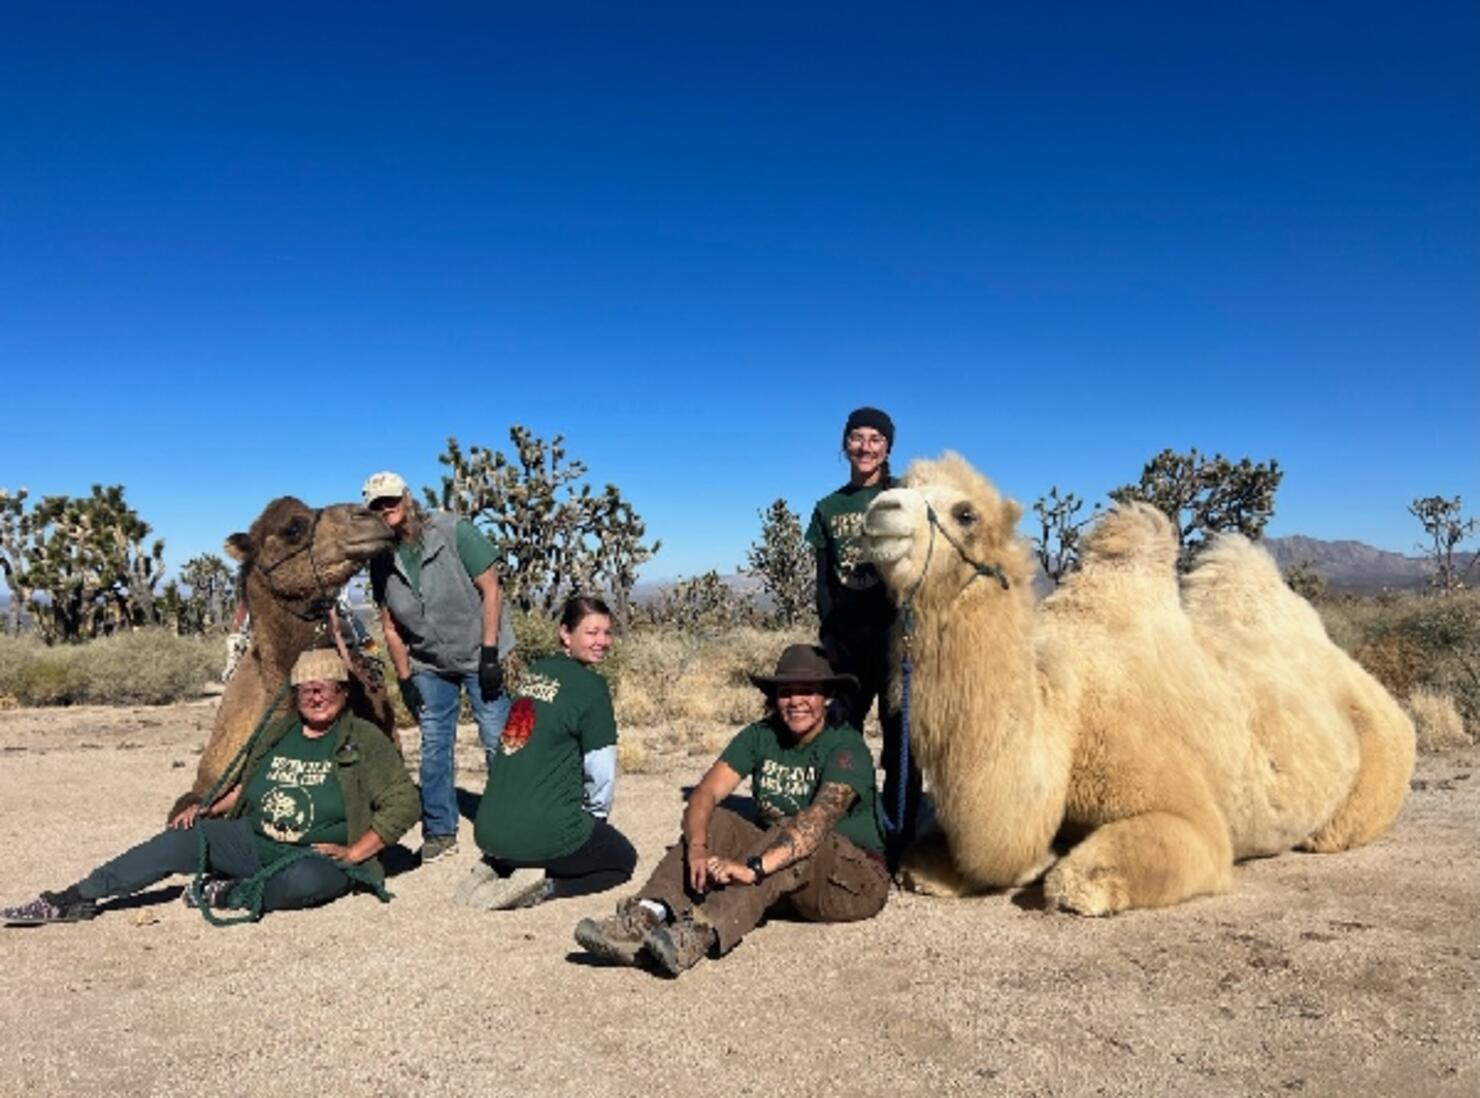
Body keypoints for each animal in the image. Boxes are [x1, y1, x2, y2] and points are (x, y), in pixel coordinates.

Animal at [864, 452, 1414, 917]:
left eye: (966, 513)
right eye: (905, 485)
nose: (879, 510)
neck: (1068, 714)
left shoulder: (1183, 808)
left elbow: (1086, 879)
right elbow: (923, 862)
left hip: (1382, 760)